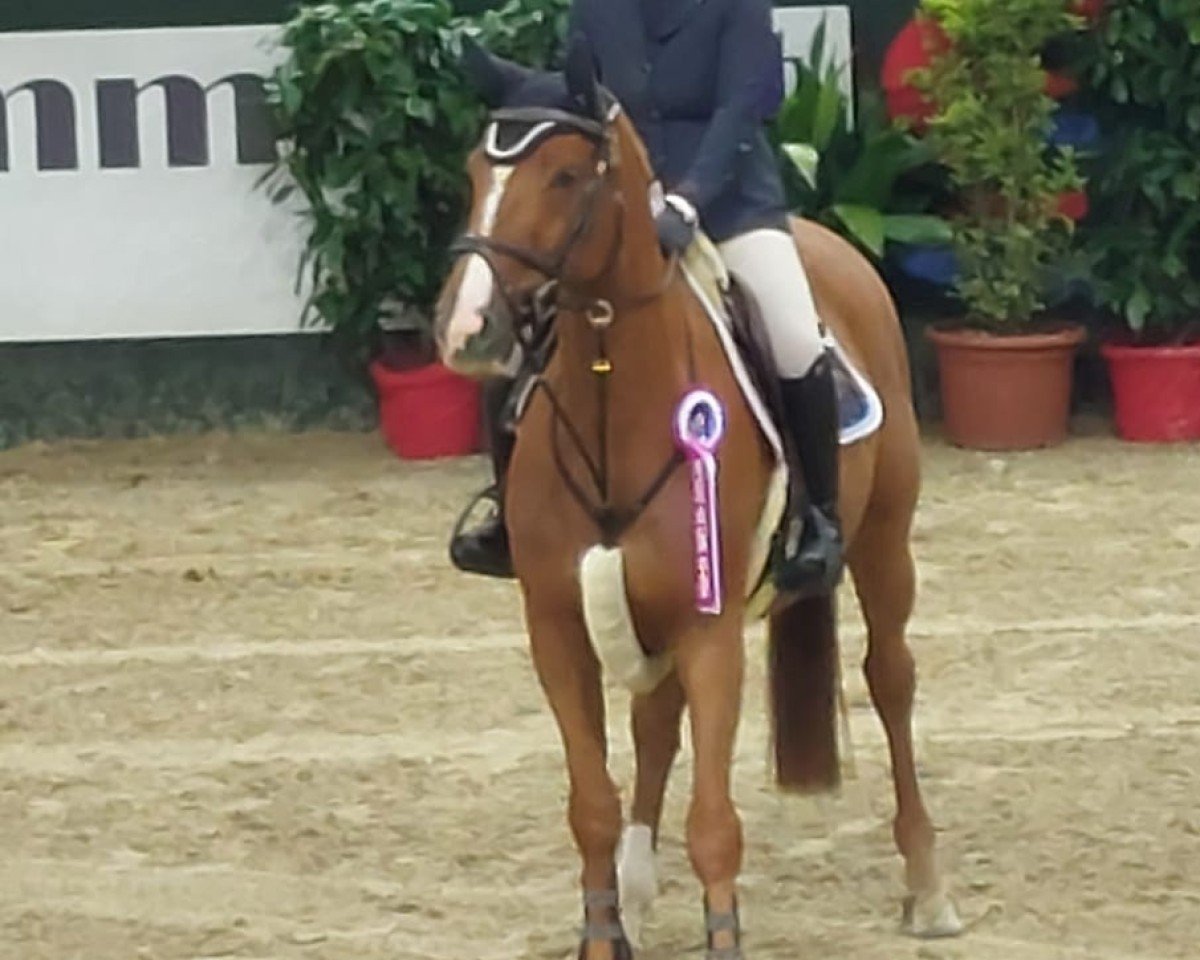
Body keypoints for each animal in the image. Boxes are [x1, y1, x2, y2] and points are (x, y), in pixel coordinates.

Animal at [433, 39, 962, 960]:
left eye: (564, 176)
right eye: (474, 171)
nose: (467, 329)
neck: (617, 395)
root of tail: (829, 241)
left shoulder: (709, 628)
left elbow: (715, 823)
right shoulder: (557, 628)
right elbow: (592, 805)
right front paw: (605, 931)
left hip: (882, 539)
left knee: (890, 679)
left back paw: (927, 888)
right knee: (655, 720)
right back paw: (640, 892)